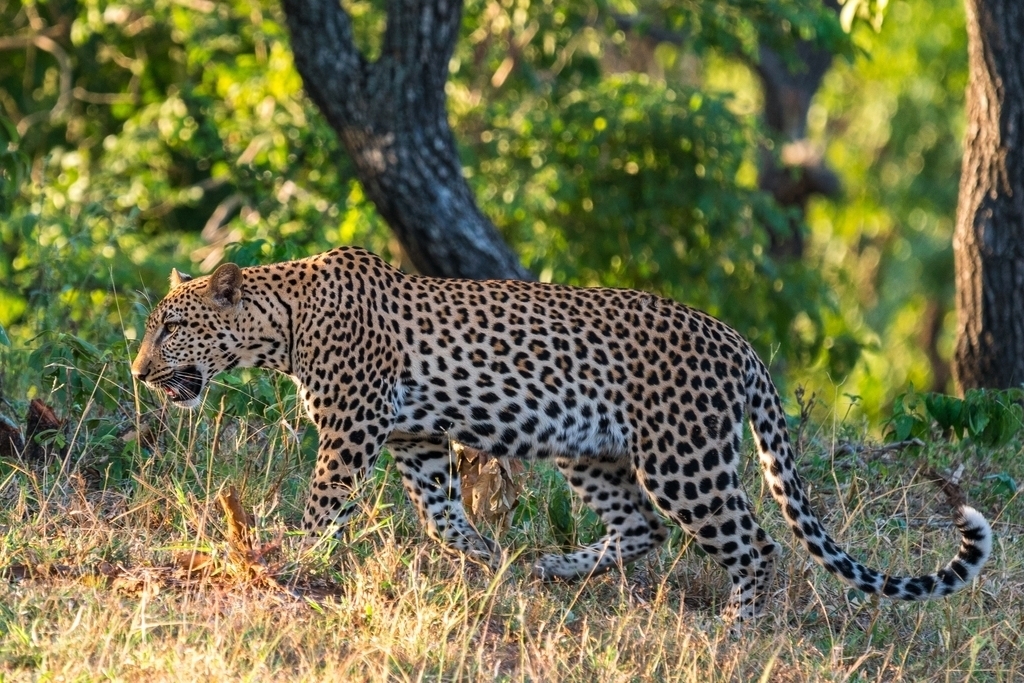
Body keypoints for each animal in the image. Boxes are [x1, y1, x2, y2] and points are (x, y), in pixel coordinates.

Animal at [131, 246, 991, 625]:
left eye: (170, 327)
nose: (139, 371)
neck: (281, 323)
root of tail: (740, 342)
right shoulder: (414, 438)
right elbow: (441, 513)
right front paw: (484, 559)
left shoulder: (353, 426)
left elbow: (322, 507)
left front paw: (282, 561)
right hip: (594, 450)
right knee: (640, 528)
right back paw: (552, 566)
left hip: (682, 456)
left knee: (755, 542)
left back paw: (738, 629)